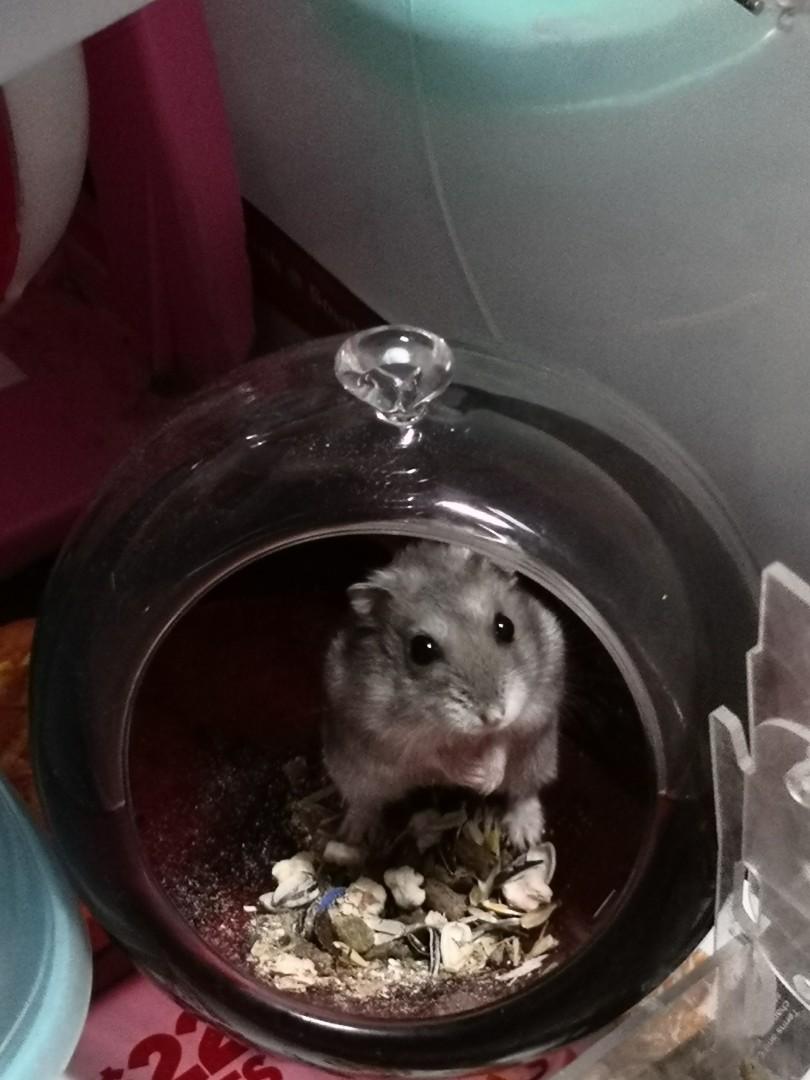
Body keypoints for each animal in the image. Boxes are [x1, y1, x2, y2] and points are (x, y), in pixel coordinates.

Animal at [323, 541, 565, 850]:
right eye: (421, 650)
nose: (493, 716)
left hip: (539, 757)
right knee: (365, 801)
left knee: (525, 791)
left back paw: (526, 837)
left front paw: (488, 781)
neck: (463, 736)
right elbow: (434, 755)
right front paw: (474, 776)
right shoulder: (384, 735)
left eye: (506, 626)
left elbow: (502, 741)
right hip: (351, 770)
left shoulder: (532, 714)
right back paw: (353, 834)